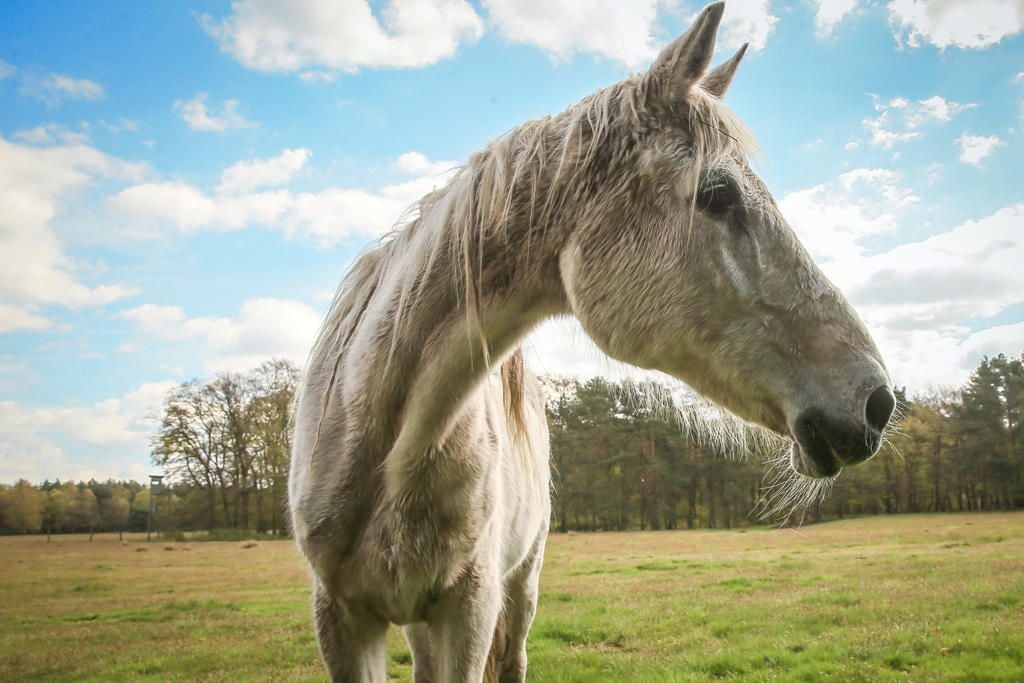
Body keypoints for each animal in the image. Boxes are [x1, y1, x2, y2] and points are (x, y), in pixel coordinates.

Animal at [288, 2, 896, 680]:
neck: (387, 448)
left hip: (516, 588)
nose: (876, 401)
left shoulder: (466, 613)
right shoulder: (344, 620)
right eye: (718, 194)